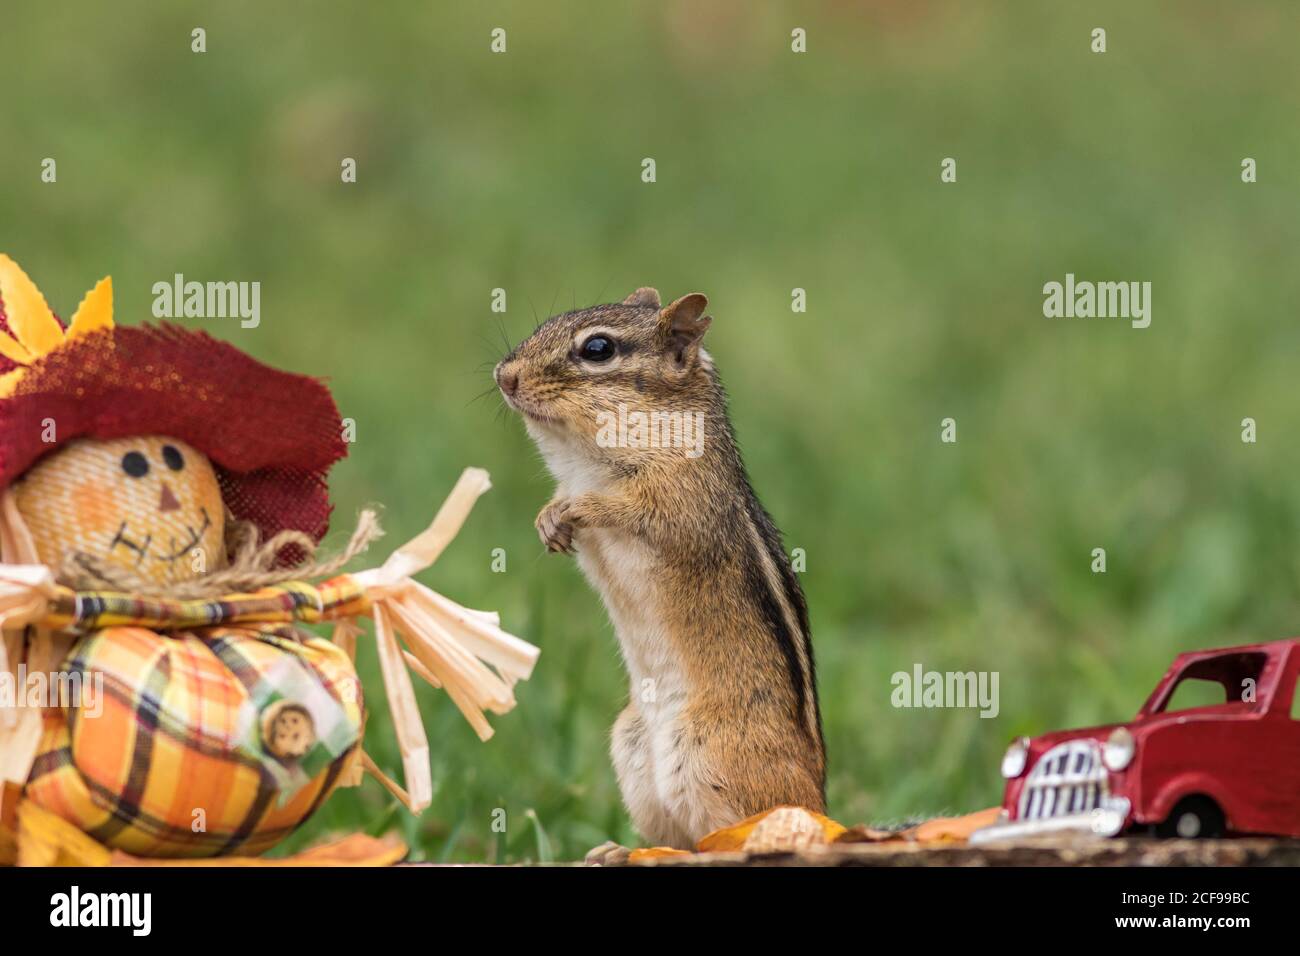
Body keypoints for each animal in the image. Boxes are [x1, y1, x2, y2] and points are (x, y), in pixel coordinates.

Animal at [495, 287, 825, 859]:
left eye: (598, 348)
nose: (503, 376)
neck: (586, 464)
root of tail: (824, 806)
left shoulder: (681, 500)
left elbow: (635, 511)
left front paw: (580, 507)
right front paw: (549, 519)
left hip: (708, 755)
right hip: (632, 750)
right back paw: (620, 851)